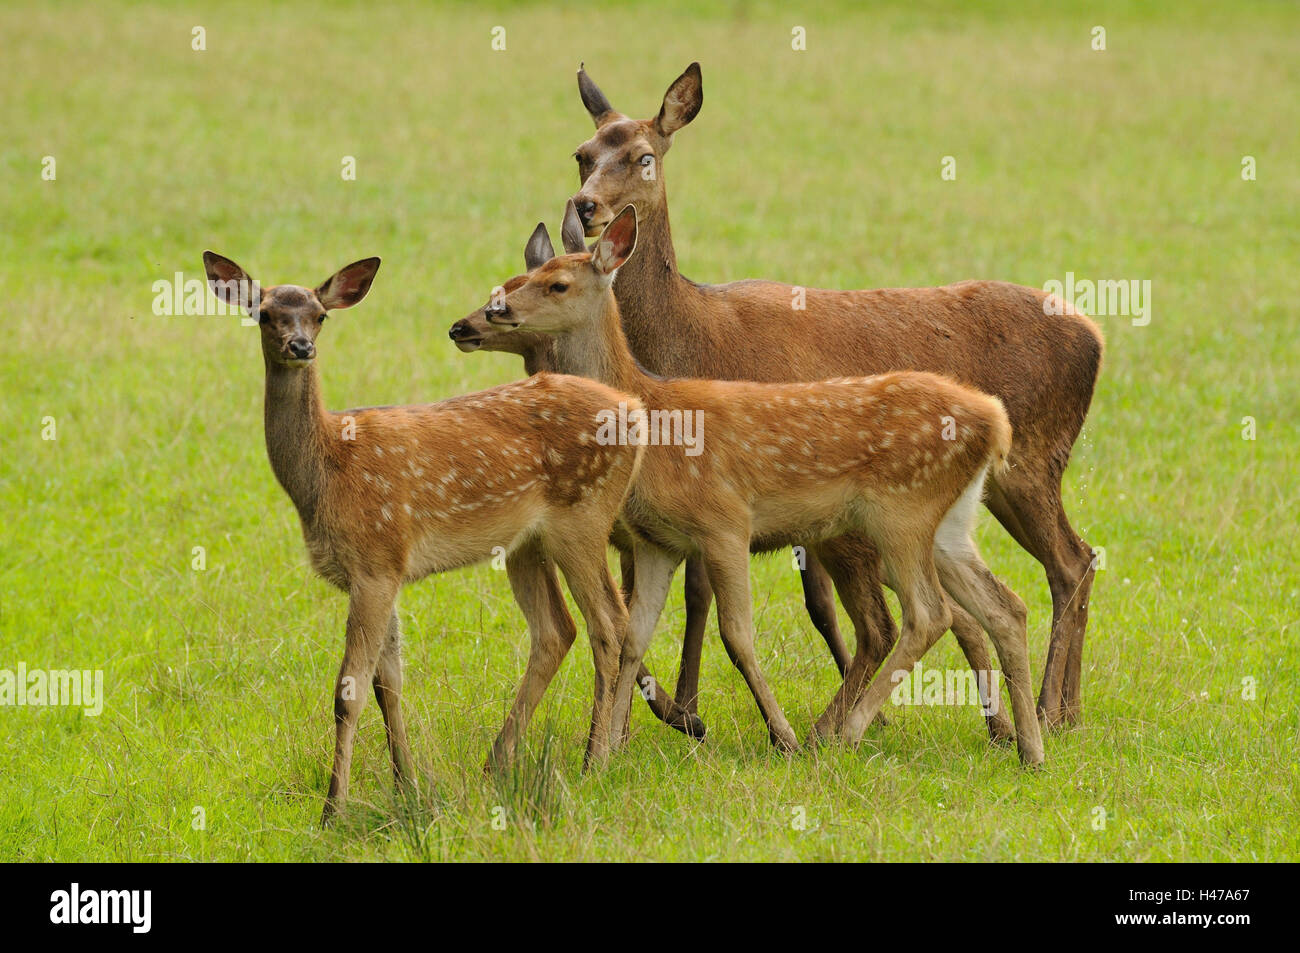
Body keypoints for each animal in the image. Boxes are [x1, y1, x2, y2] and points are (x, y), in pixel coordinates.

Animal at [204, 250, 644, 824]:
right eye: (265, 314)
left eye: (320, 315)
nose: (301, 347)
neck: (325, 475)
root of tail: (636, 408)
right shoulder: (383, 569)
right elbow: (387, 682)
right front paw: (408, 787)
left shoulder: (375, 558)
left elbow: (348, 691)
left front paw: (332, 810)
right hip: (528, 542)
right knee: (557, 629)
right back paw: (499, 762)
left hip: (584, 514)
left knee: (609, 623)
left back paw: (595, 759)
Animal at [459, 206, 1046, 767]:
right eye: (518, 279)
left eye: (556, 284)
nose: (484, 316)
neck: (650, 416)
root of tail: (994, 420)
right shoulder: (657, 542)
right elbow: (632, 637)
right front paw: (606, 752)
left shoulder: (725, 521)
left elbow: (737, 635)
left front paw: (781, 737)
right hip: (948, 522)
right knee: (1005, 607)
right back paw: (1030, 750)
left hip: (901, 511)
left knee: (929, 615)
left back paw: (846, 733)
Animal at [566, 63, 1105, 732]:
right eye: (582, 153)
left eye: (644, 156)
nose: (585, 205)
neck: (689, 342)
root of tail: (1095, 338)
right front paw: (673, 714)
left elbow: (717, 594)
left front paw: (691, 714)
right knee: (1076, 558)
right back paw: (1062, 711)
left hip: (1034, 461)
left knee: (1070, 562)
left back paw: (1051, 710)